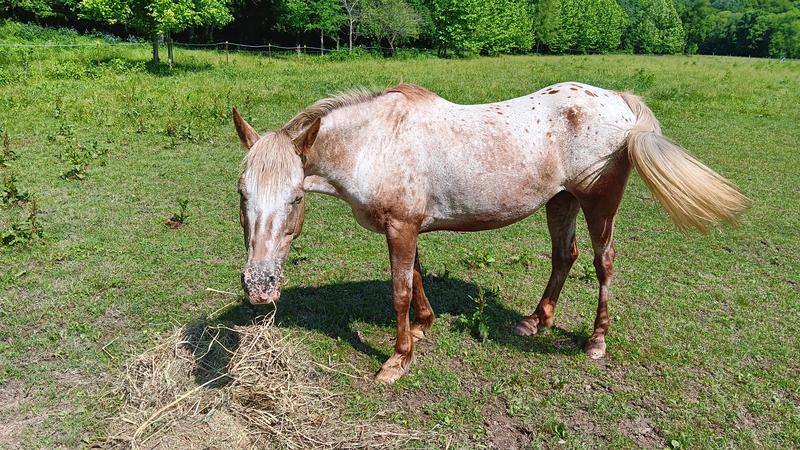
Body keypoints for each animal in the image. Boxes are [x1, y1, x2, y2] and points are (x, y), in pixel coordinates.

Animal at [232, 83, 748, 383]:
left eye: (296, 198)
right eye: (241, 194)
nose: (260, 287)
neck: (378, 142)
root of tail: (619, 100)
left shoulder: (401, 227)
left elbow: (399, 290)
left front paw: (397, 360)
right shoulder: (407, 228)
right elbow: (416, 278)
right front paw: (423, 326)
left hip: (599, 203)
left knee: (603, 261)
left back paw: (596, 342)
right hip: (560, 201)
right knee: (565, 256)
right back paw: (535, 321)